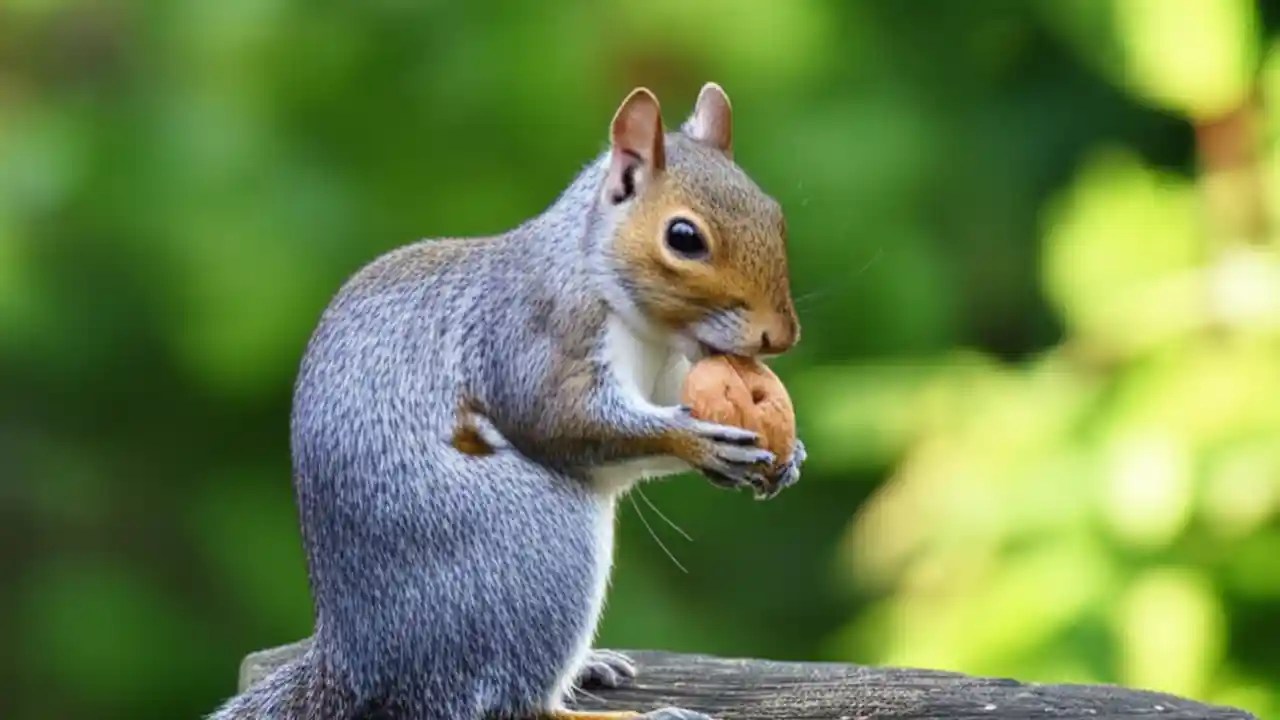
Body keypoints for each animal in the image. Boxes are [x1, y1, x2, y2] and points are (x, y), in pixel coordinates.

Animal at [209, 82, 805, 720]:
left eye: (774, 213)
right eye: (684, 238)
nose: (780, 336)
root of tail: (362, 668)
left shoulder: (664, 377)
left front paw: (788, 455)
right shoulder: (534, 341)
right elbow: (564, 423)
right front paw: (698, 440)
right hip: (535, 551)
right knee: (513, 704)